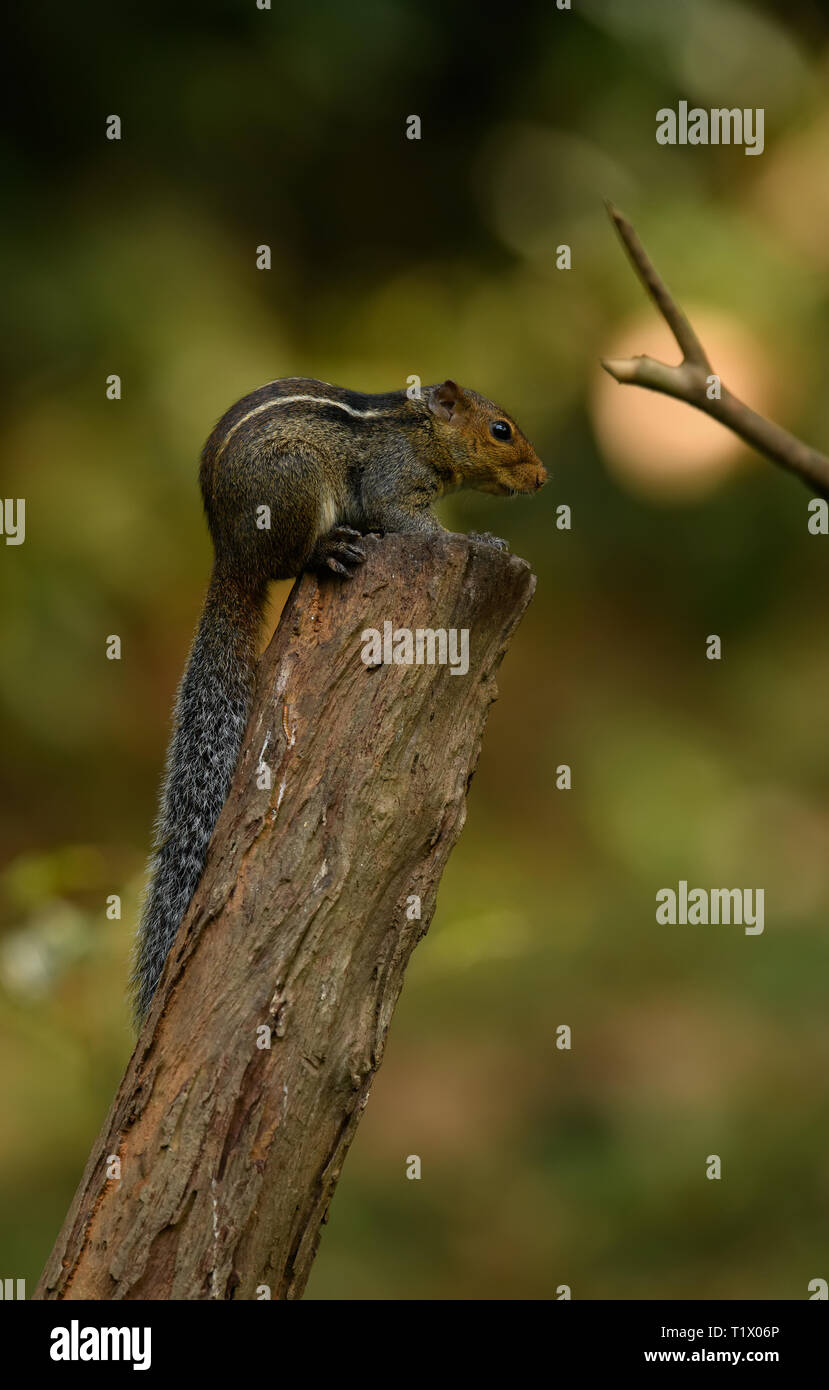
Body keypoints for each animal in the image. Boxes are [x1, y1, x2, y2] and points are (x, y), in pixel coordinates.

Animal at [130, 376, 546, 1026]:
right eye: (501, 430)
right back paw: (327, 549)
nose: (543, 476)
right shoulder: (392, 482)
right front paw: (476, 538)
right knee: (289, 561)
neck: (418, 429)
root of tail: (230, 557)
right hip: (293, 487)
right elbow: (410, 522)